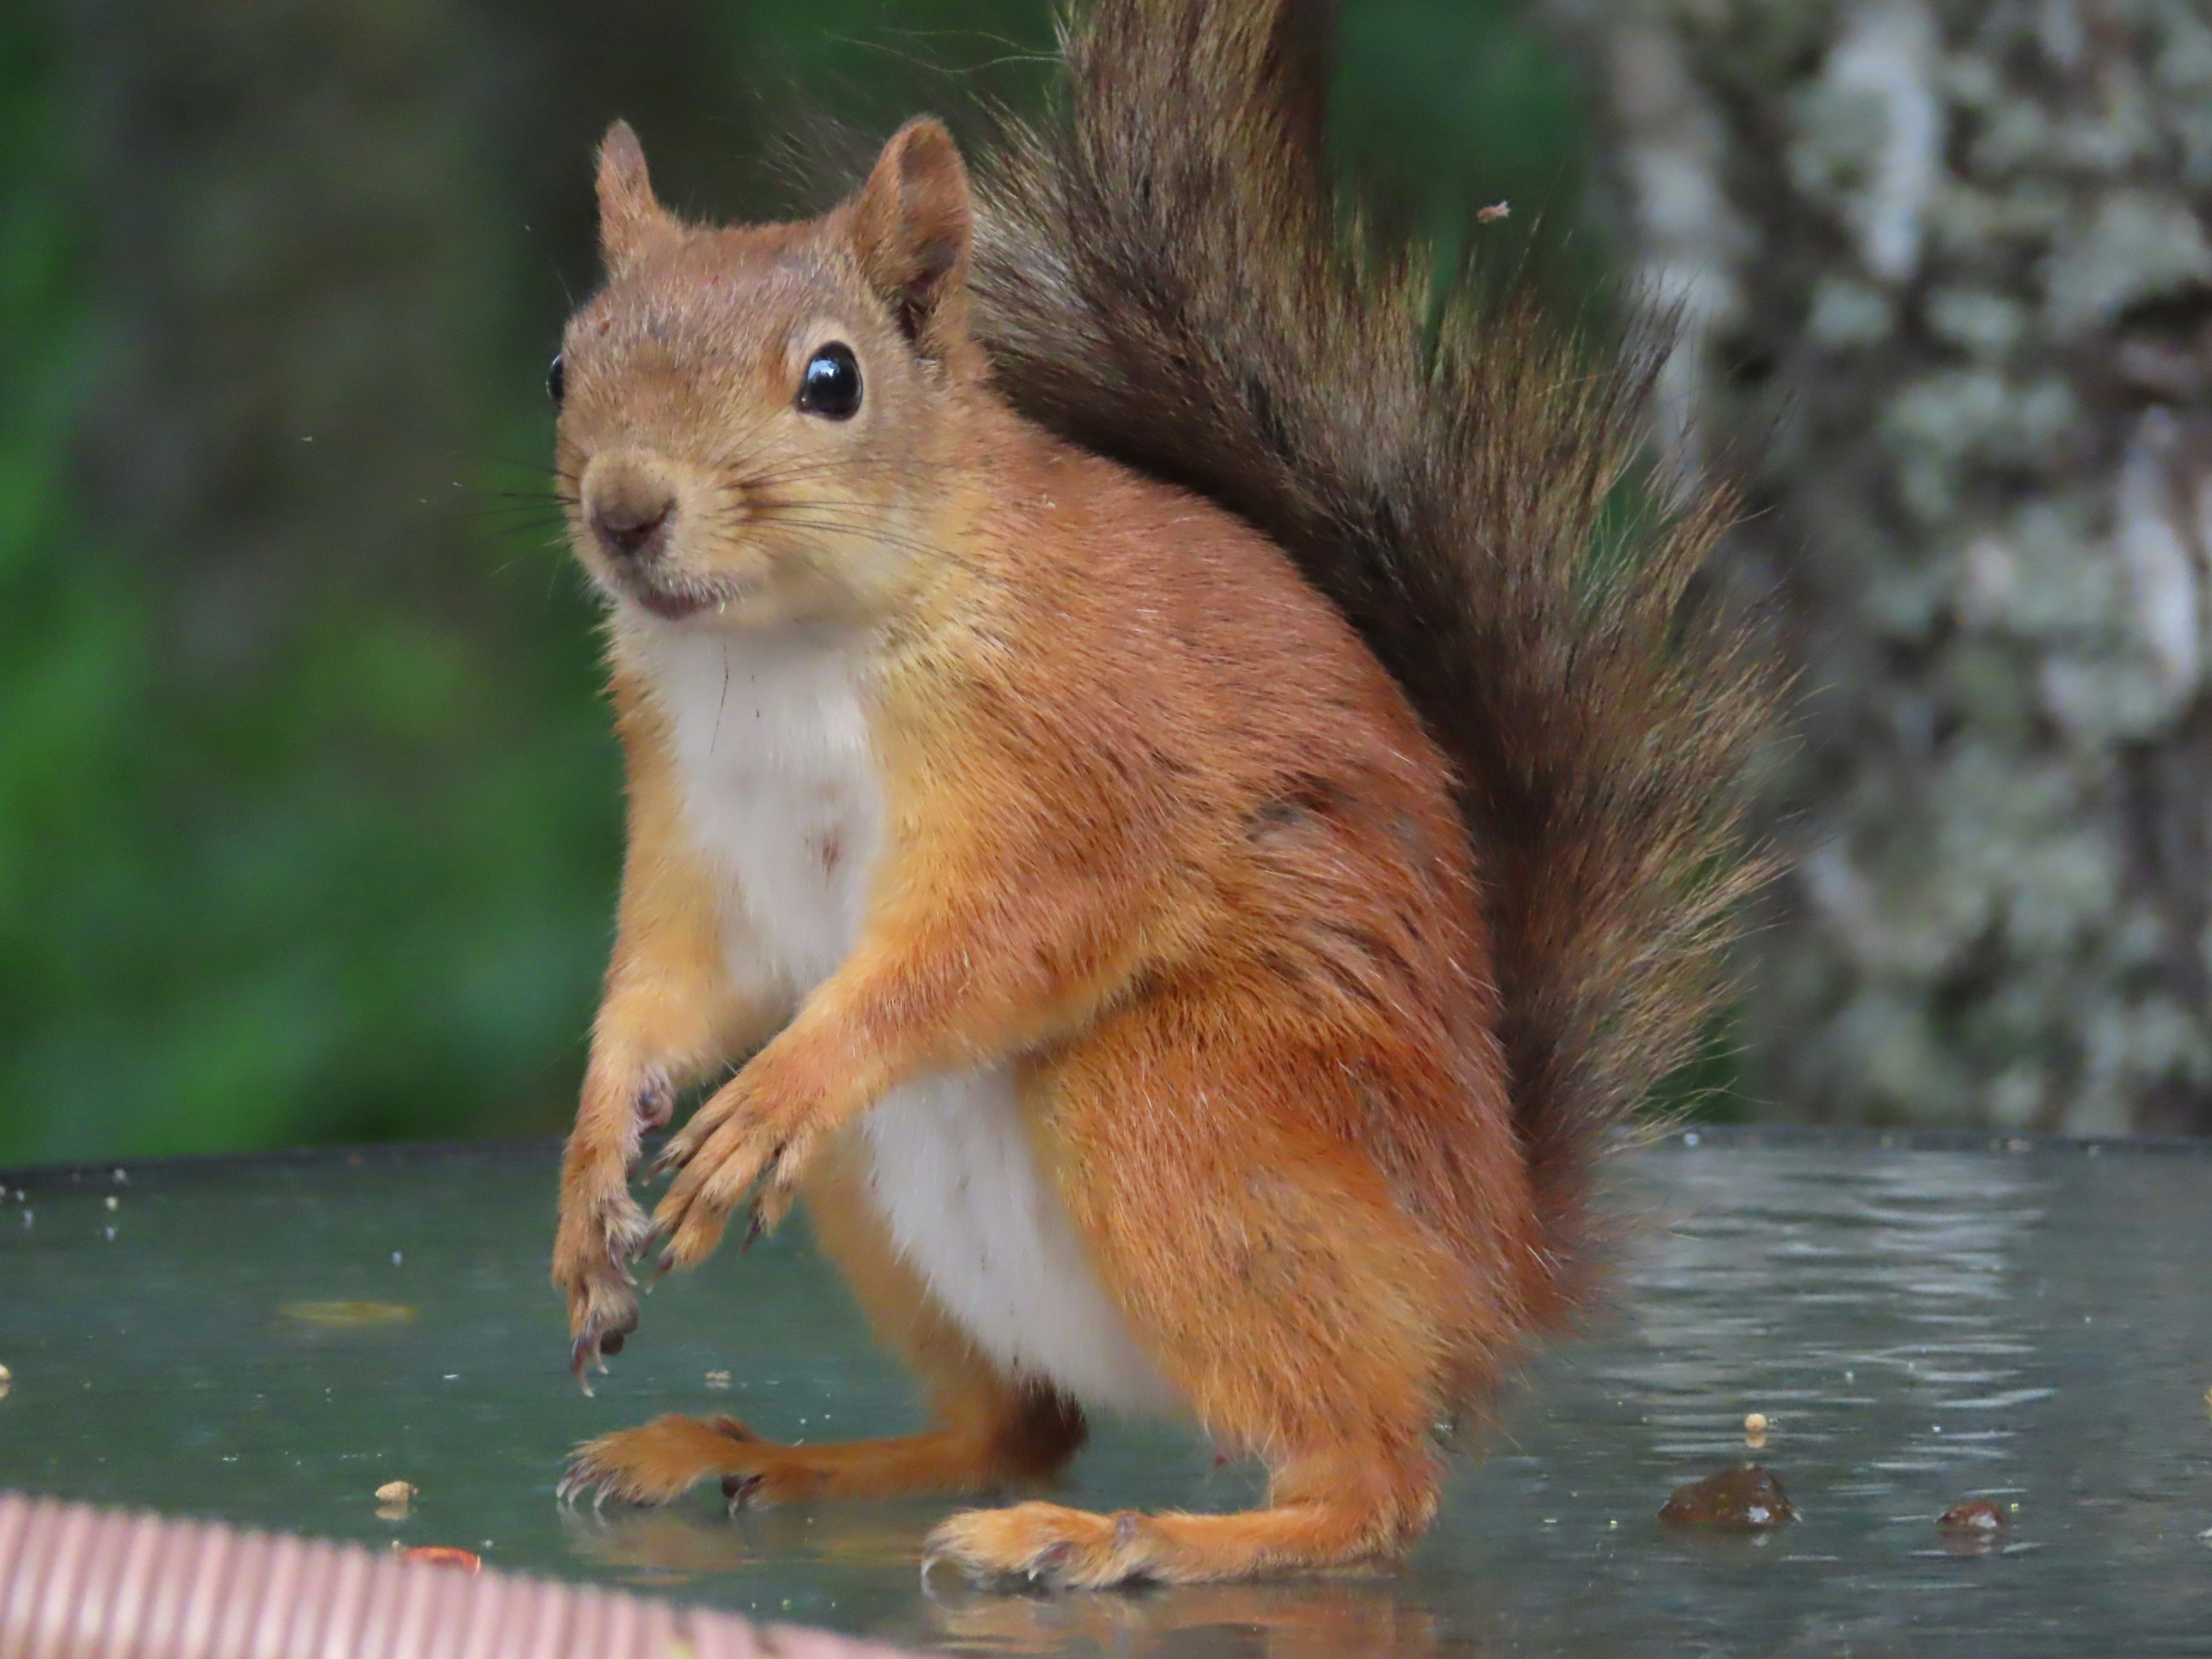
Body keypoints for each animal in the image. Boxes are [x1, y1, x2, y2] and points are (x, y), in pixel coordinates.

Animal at [548, 0, 1771, 1588]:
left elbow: (1004, 937)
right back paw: (761, 1456)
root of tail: (1496, 1275)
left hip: (1177, 1109)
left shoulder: (1086, 757)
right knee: (1017, 1423)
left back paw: (1140, 1537)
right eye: (561, 369)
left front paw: (790, 1080)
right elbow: (668, 987)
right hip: (886, 1199)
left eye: (832, 379)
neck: (784, 649)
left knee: (1368, 1479)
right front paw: (592, 1168)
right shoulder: (694, 822)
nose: (626, 512)